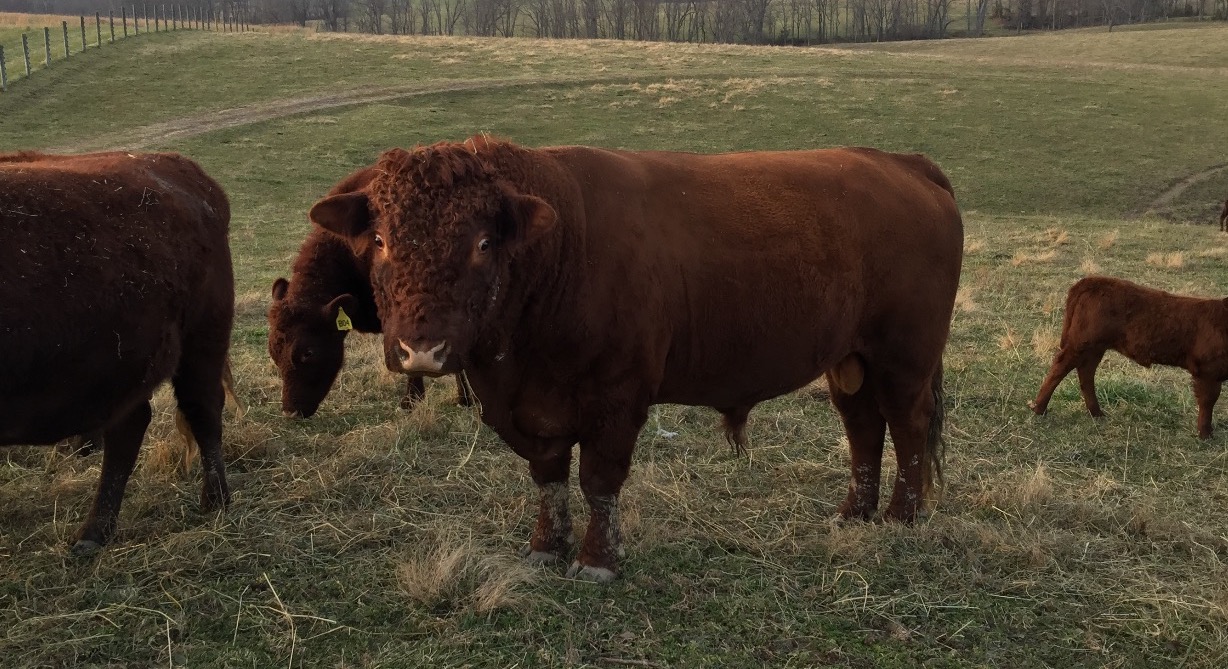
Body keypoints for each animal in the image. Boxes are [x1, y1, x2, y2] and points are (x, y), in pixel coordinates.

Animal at [308, 137, 964, 582]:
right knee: (863, 427)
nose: (422, 349)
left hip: (905, 358)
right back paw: (854, 513)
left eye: (484, 242)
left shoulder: (616, 399)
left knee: (906, 426)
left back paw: (901, 517)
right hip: (849, 360)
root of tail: (902, 164)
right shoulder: (531, 412)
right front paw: (545, 549)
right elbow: (549, 479)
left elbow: (599, 481)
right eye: (381, 240)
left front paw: (597, 561)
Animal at [1030, 275, 1228, 438]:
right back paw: (1039, 408)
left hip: (1095, 348)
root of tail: (1091, 280)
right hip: (1082, 343)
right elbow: (1208, 400)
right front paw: (1205, 434)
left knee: (1086, 373)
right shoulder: (1208, 370)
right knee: (1060, 366)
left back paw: (1096, 413)